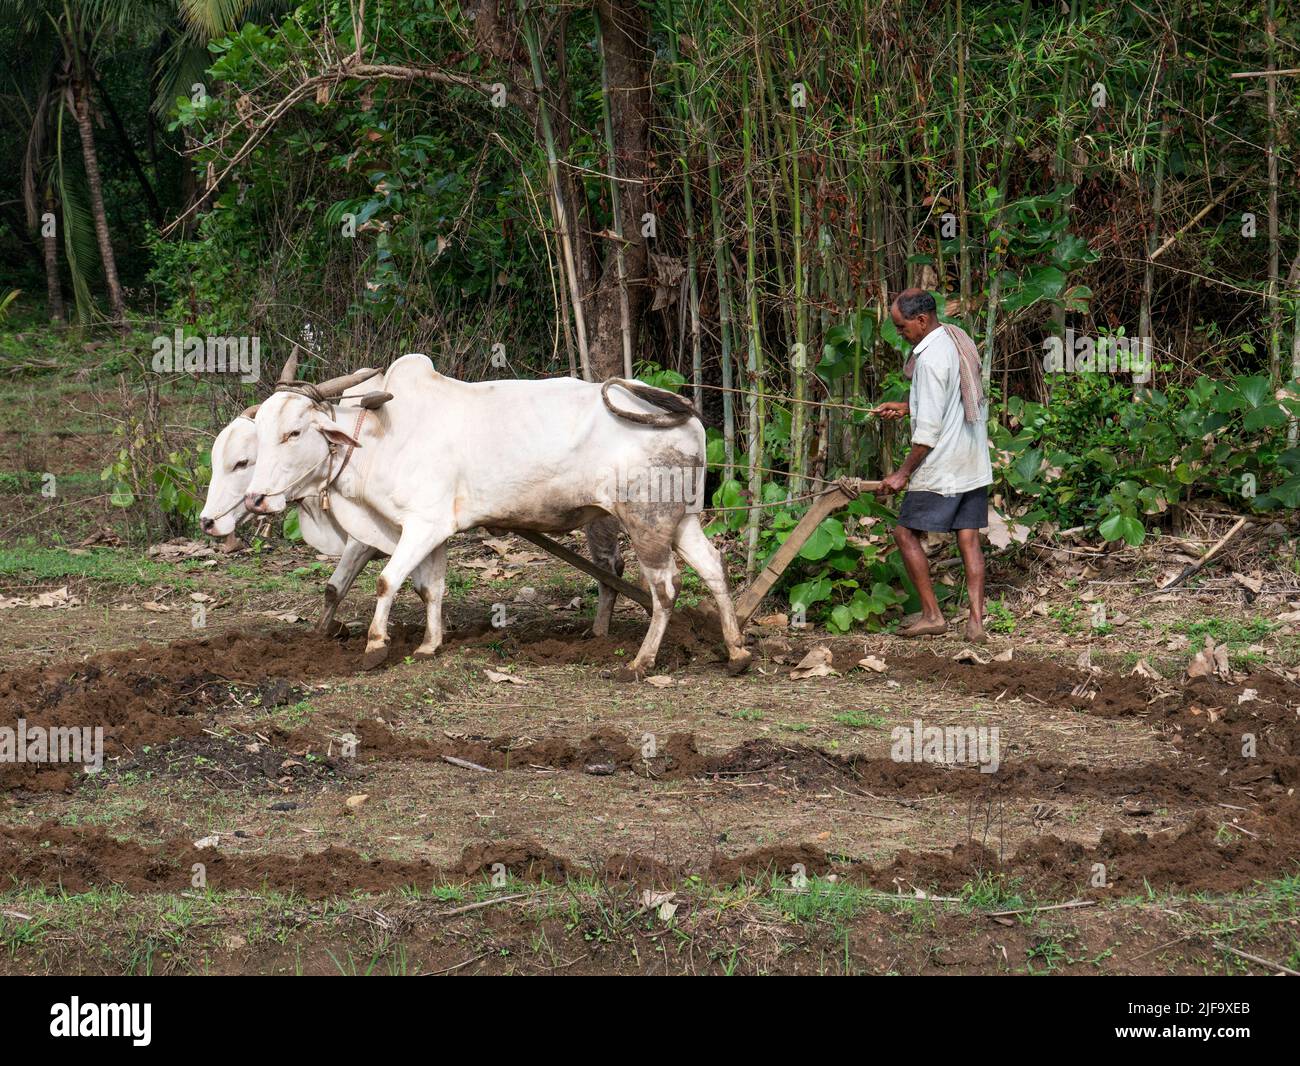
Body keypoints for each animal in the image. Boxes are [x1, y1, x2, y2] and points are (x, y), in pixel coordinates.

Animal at [242, 354, 752, 680]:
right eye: (260, 432)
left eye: (293, 433)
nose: (255, 499)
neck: (380, 438)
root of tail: (686, 415)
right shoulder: (432, 530)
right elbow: (430, 588)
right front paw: (429, 644)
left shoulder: (422, 525)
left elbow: (387, 581)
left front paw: (375, 645)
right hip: (680, 519)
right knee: (712, 568)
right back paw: (736, 651)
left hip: (646, 520)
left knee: (665, 588)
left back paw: (640, 663)